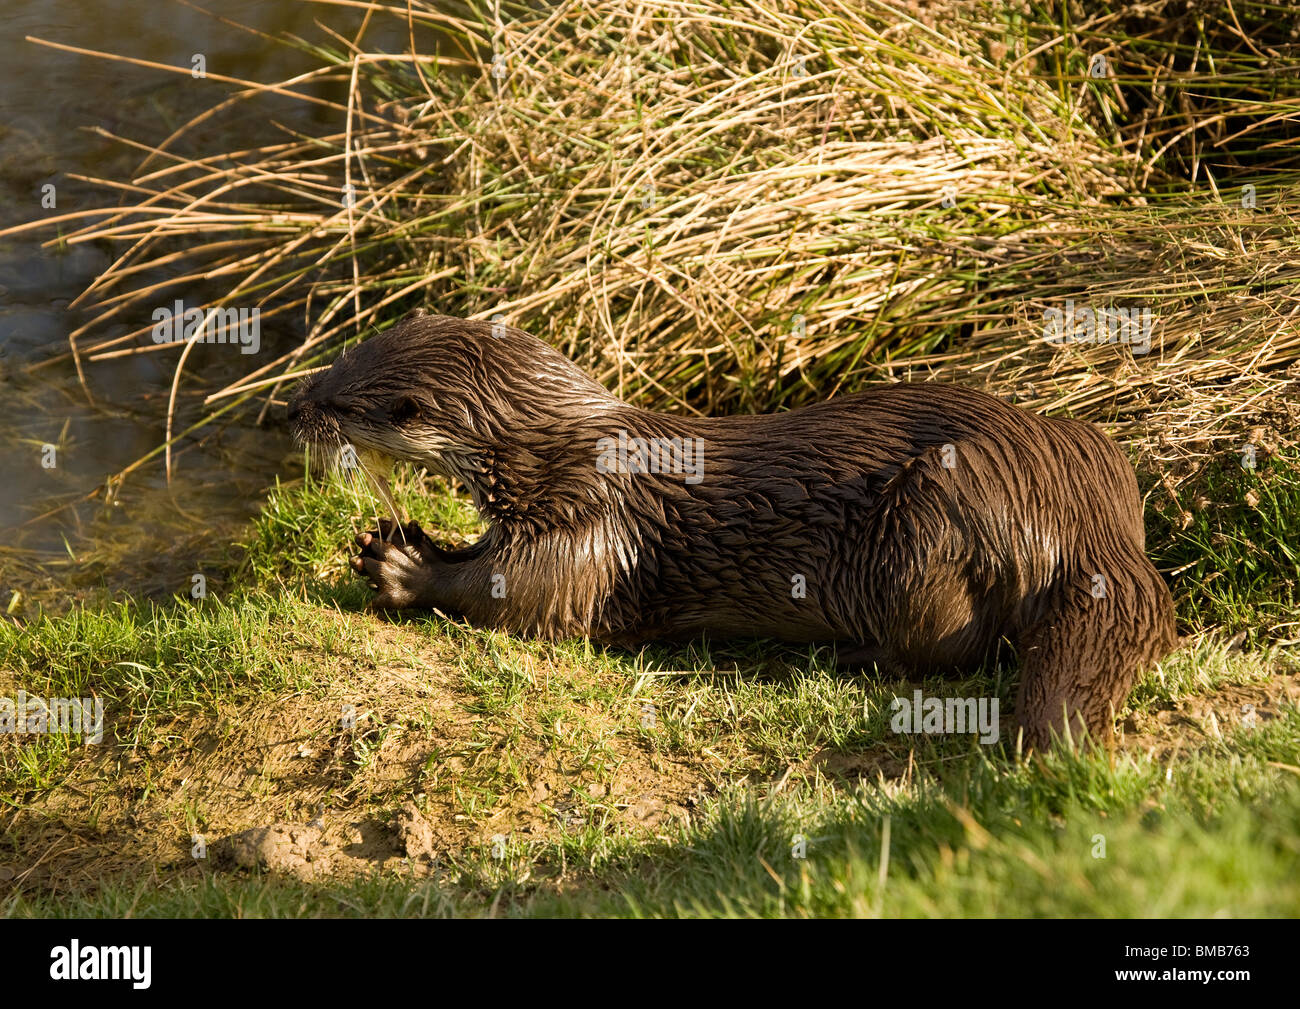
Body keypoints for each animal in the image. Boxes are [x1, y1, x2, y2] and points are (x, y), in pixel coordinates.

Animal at [288, 312, 1178, 748]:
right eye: (333, 361)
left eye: (344, 400)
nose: (287, 408)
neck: (557, 451)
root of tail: (1079, 511)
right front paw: (404, 538)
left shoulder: (587, 518)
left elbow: (531, 596)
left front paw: (400, 566)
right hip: (1092, 449)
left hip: (936, 510)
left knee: (947, 642)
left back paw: (855, 654)